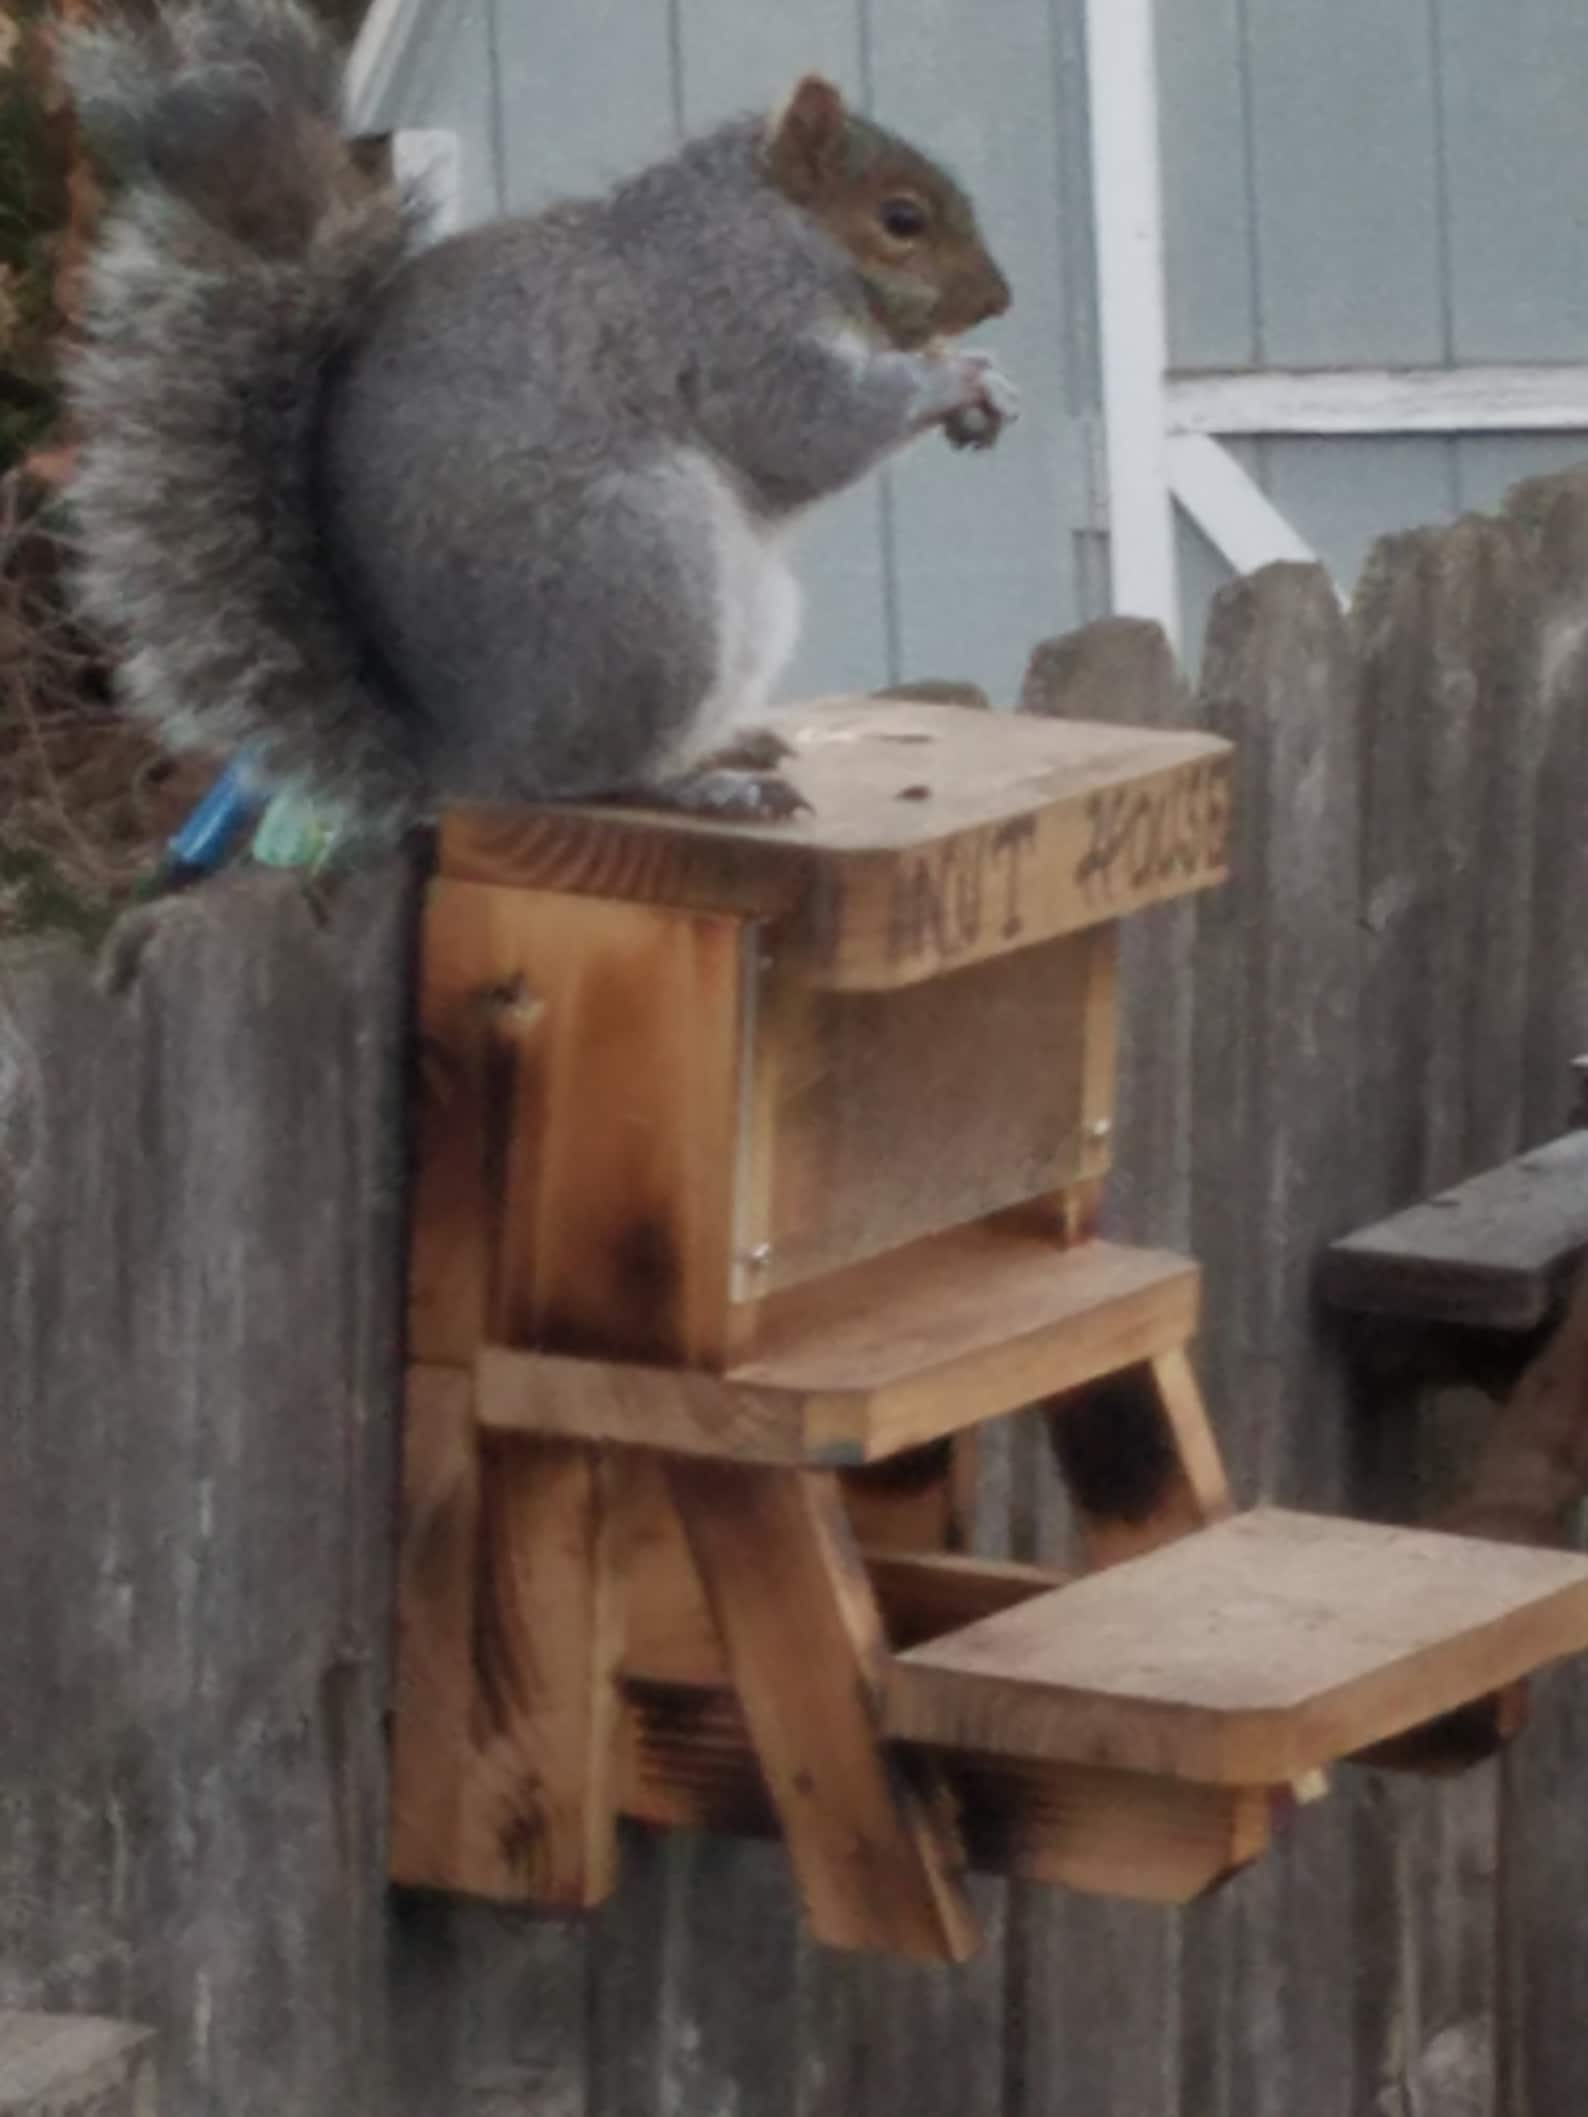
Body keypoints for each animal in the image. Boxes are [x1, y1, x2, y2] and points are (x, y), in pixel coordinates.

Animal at [64, 0, 1018, 843]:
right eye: (901, 219)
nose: (998, 301)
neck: (769, 225)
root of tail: (461, 757)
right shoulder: (729, 324)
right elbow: (807, 427)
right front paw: (952, 377)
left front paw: (992, 390)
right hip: (638, 569)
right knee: (586, 775)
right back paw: (705, 786)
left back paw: (727, 745)